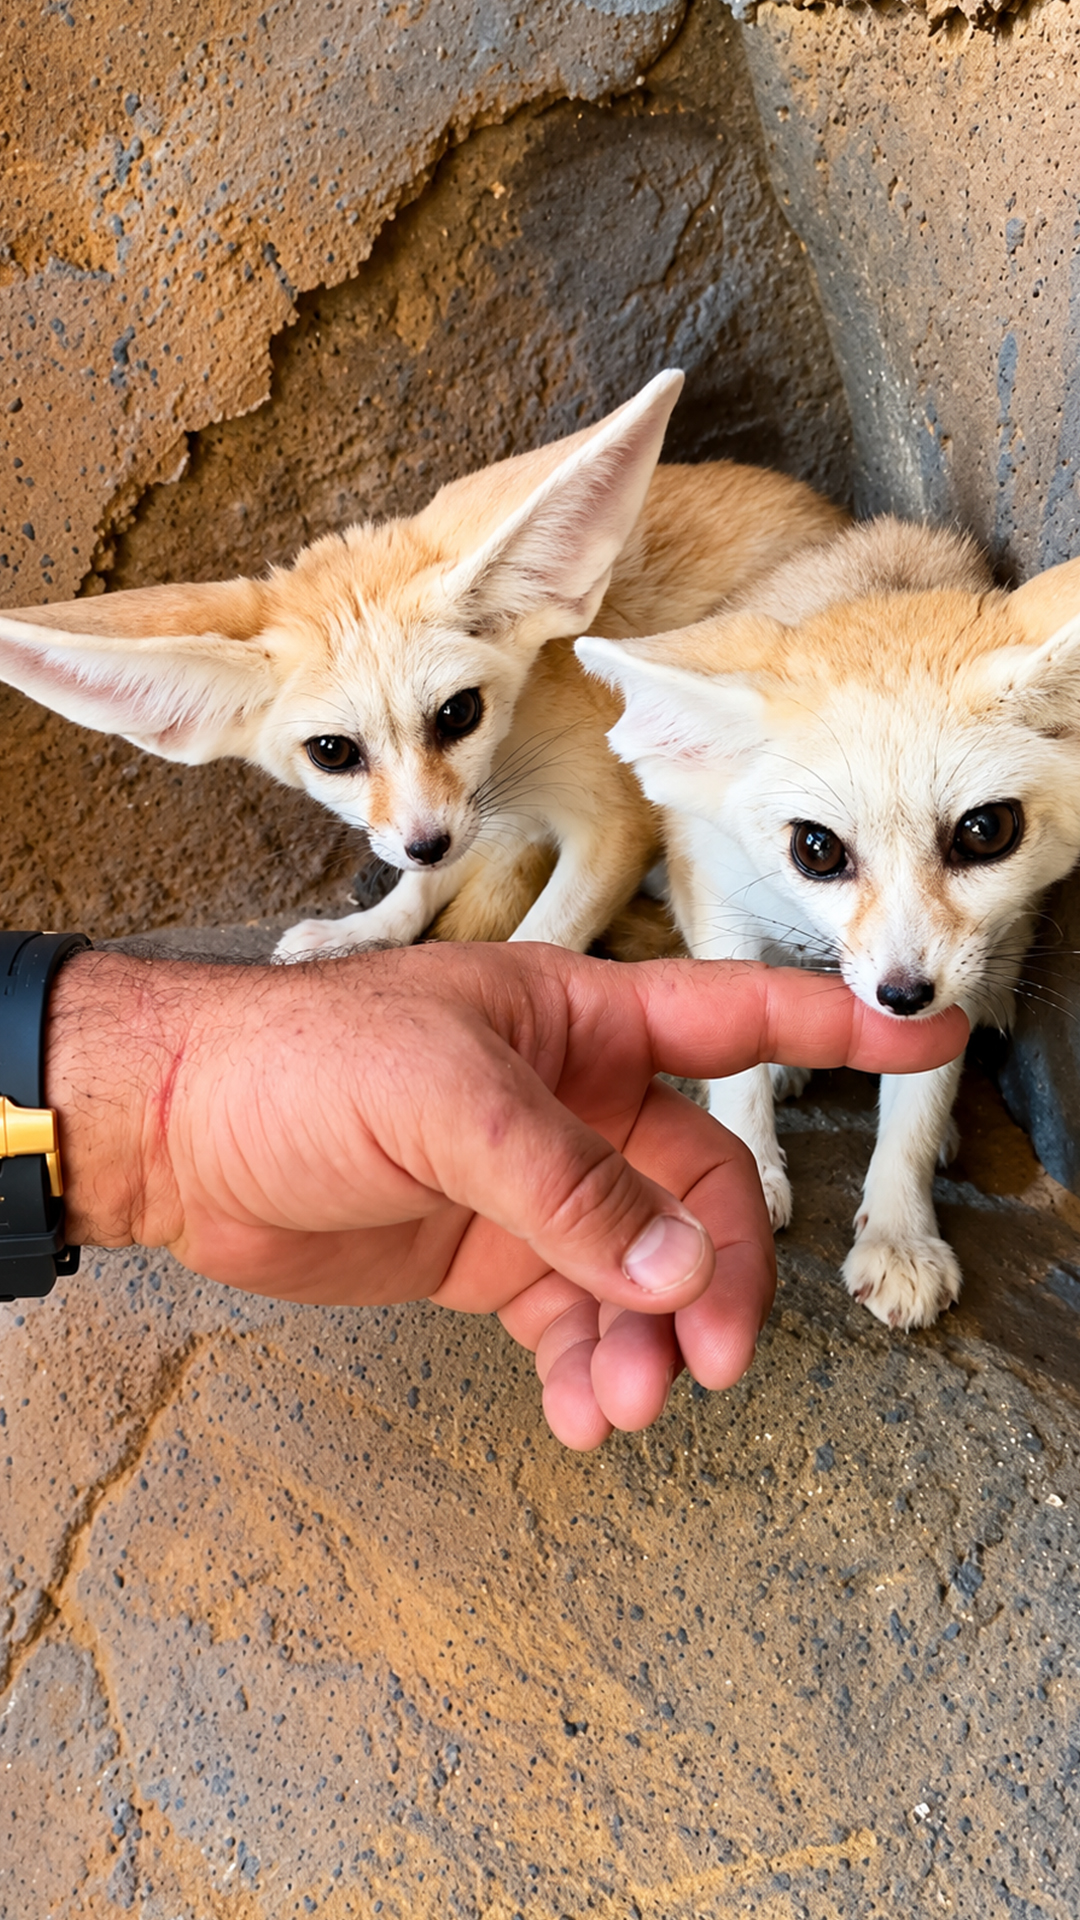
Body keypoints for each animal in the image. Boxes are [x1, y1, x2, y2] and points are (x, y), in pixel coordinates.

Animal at [0, 371, 844, 959]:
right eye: (332, 752)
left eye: (458, 713)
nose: (428, 844)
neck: (525, 730)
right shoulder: (459, 817)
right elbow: (418, 888)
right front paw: (368, 927)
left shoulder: (614, 820)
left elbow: (541, 937)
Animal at [575, 516, 1080, 1331]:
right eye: (816, 849)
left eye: (986, 831)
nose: (902, 997)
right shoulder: (719, 895)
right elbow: (734, 1062)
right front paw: (746, 1164)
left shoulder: (967, 965)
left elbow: (919, 1102)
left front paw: (900, 1232)